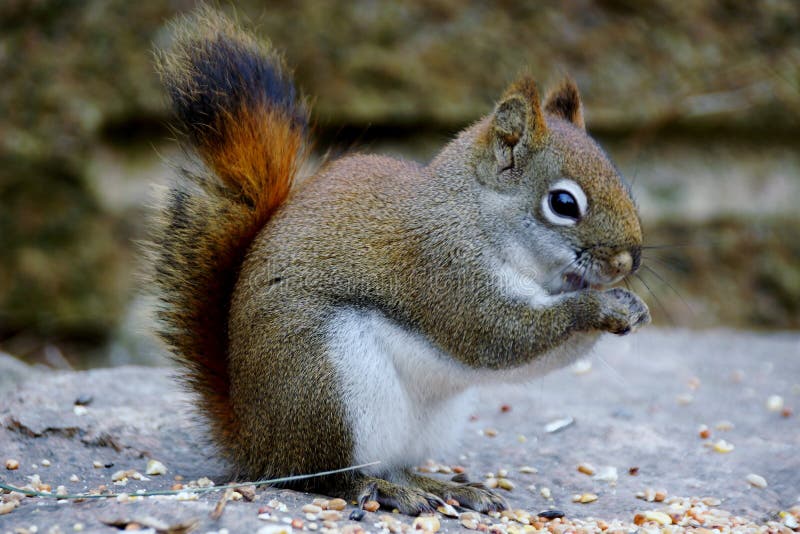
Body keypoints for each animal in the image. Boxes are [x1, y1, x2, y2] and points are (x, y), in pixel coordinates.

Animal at [148, 8, 648, 516]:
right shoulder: (443, 269)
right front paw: (601, 307)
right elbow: (498, 337)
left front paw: (632, 307)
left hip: (425, 419)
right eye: (563, 203)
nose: (627, 262)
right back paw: (377, 489)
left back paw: (442, 487)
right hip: (329, 387)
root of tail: (253, 443)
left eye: (618, 176)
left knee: (396, 465)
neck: (477, 217)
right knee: (323, 476)